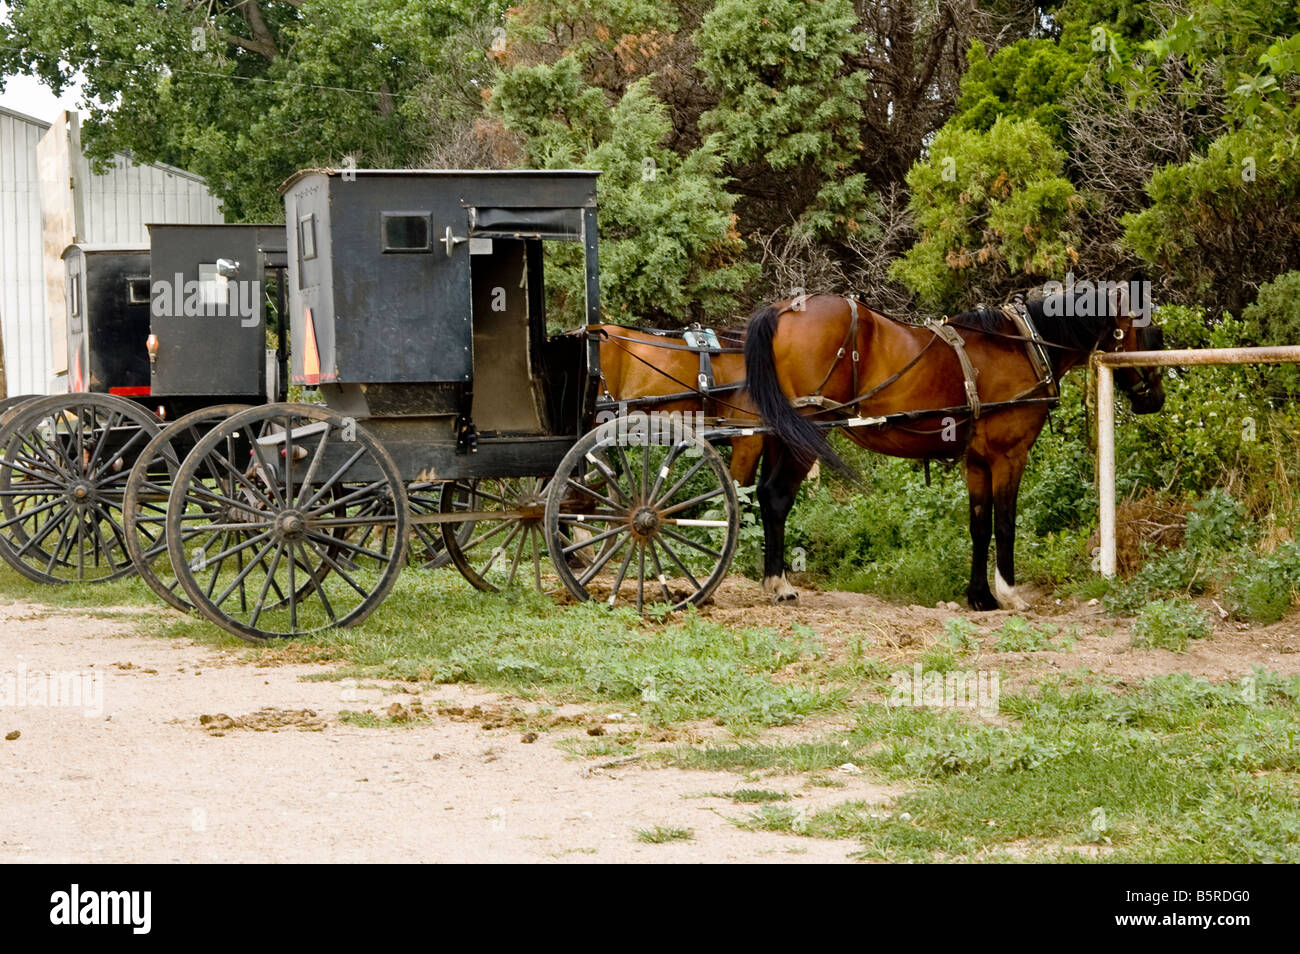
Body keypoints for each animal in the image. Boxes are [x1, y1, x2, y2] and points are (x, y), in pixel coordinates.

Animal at [742, 289, 1166, 608]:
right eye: (1149, 332)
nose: (1156, 399)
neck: (1024, 347)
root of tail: (779, 310)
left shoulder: (976, 461)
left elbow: (979, 525)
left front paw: (981, 597)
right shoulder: (1009, 456)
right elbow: (1005, 523)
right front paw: (1009, 594)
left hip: (780, 432)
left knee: (765, 495)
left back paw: (773, 580)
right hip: (806, 431)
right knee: (778, 496)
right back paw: (780, 584)